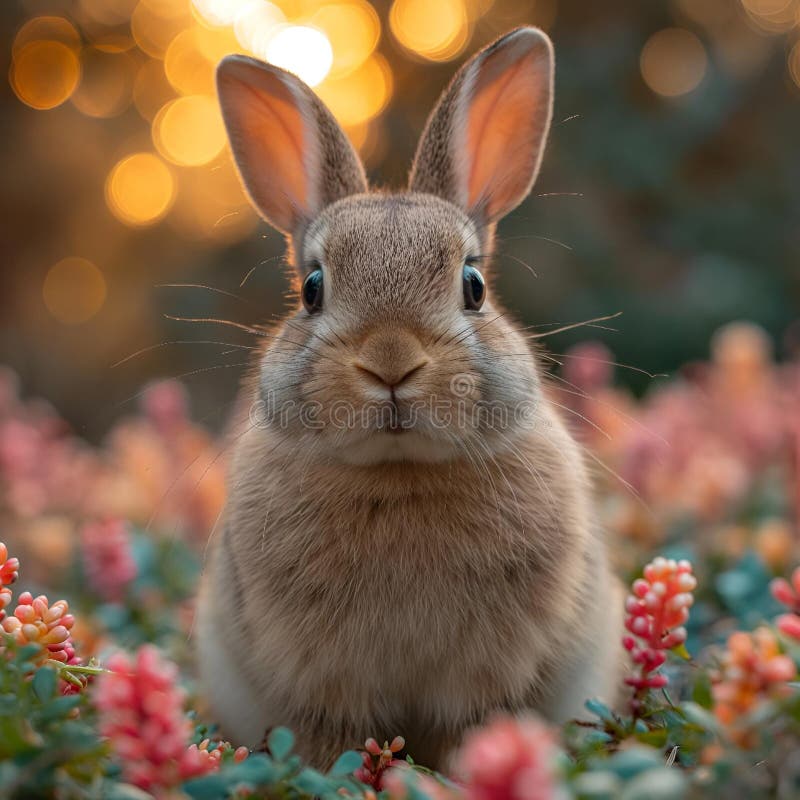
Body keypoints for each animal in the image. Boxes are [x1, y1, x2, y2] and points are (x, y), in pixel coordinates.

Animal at [195, 26, 624, 770]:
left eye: (473, 286)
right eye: (312, 289)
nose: (391, 361)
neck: (400, 471)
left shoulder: (482, 678)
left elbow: (467, 726)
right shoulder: (324, 682)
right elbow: (330, 737)